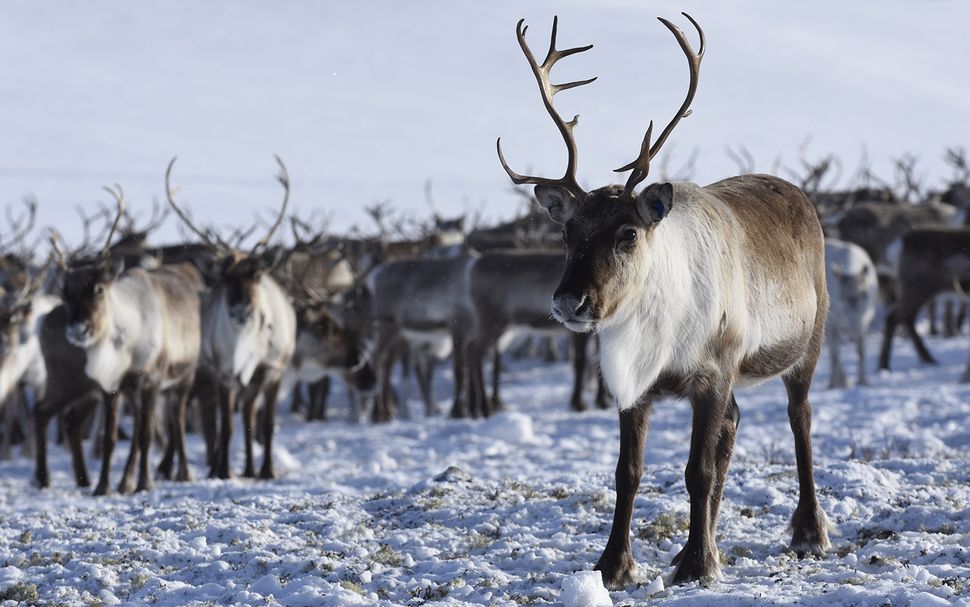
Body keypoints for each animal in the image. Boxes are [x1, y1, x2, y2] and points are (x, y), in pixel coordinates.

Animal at [57, 186, 204, 495]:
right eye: (64, 293)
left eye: (99, 288)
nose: (78, 329)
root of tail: (186, 270)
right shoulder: (112, 387)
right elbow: (111, 438)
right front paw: (103, 486)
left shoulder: (152, 379)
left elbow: (147, 434)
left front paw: (145, 483)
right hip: (135, 393)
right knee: (138, 429)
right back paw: (125, 481)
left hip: (182, 378)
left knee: (177, 422)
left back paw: (183, 472)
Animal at [165, 156, 296, 480]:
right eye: (225, 277)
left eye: (257, 275)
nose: (241, 308)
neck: (246, 347)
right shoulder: (224, 374)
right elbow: (227, 427)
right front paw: (223, 471)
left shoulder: (271, 370)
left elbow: (266, 425)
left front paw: (267, 470)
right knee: (201, 421)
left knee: (247, 415)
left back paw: (249, 467)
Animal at [496, 14, 831, 586]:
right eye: (566, 232)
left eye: (627, 234)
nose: (569, 302)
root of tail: (798, 194)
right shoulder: (632, 386)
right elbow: (628, 472)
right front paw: (614, 564)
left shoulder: (714, 371)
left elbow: (697, 469)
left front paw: (697, 565)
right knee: (733, 426)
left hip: (807, 343)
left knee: (799, 419)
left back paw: (808, 532)